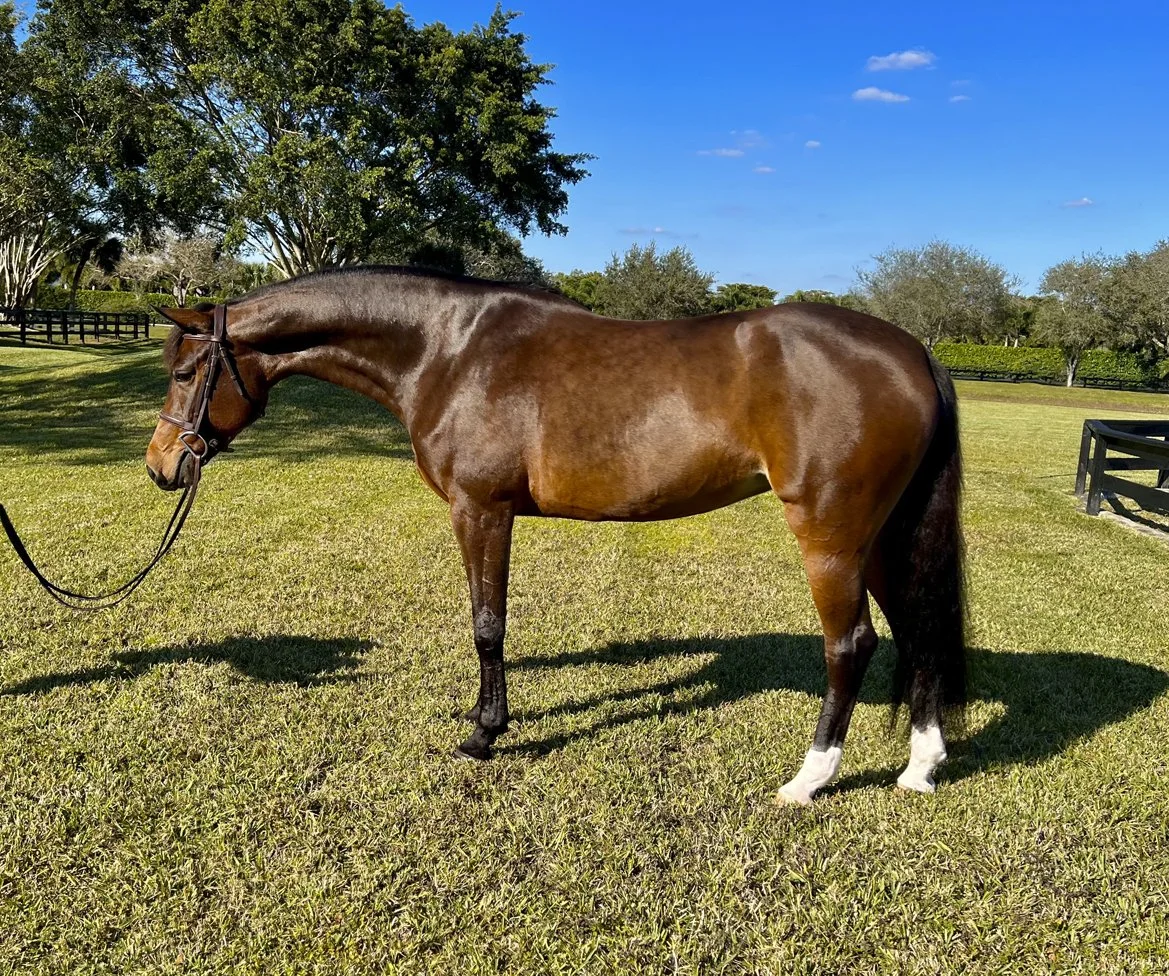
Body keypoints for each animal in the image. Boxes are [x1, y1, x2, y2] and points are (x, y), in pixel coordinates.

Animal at [147, 266, 965, 805]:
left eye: (187, 371)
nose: (161, 466)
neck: (447, 351)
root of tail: (912, 350)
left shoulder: (480, 509)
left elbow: (487, 624)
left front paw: (484, 733)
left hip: (830, 535)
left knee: (851, 644)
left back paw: (808, 779)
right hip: (881, 538)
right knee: (918, 630)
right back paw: (919, 767)